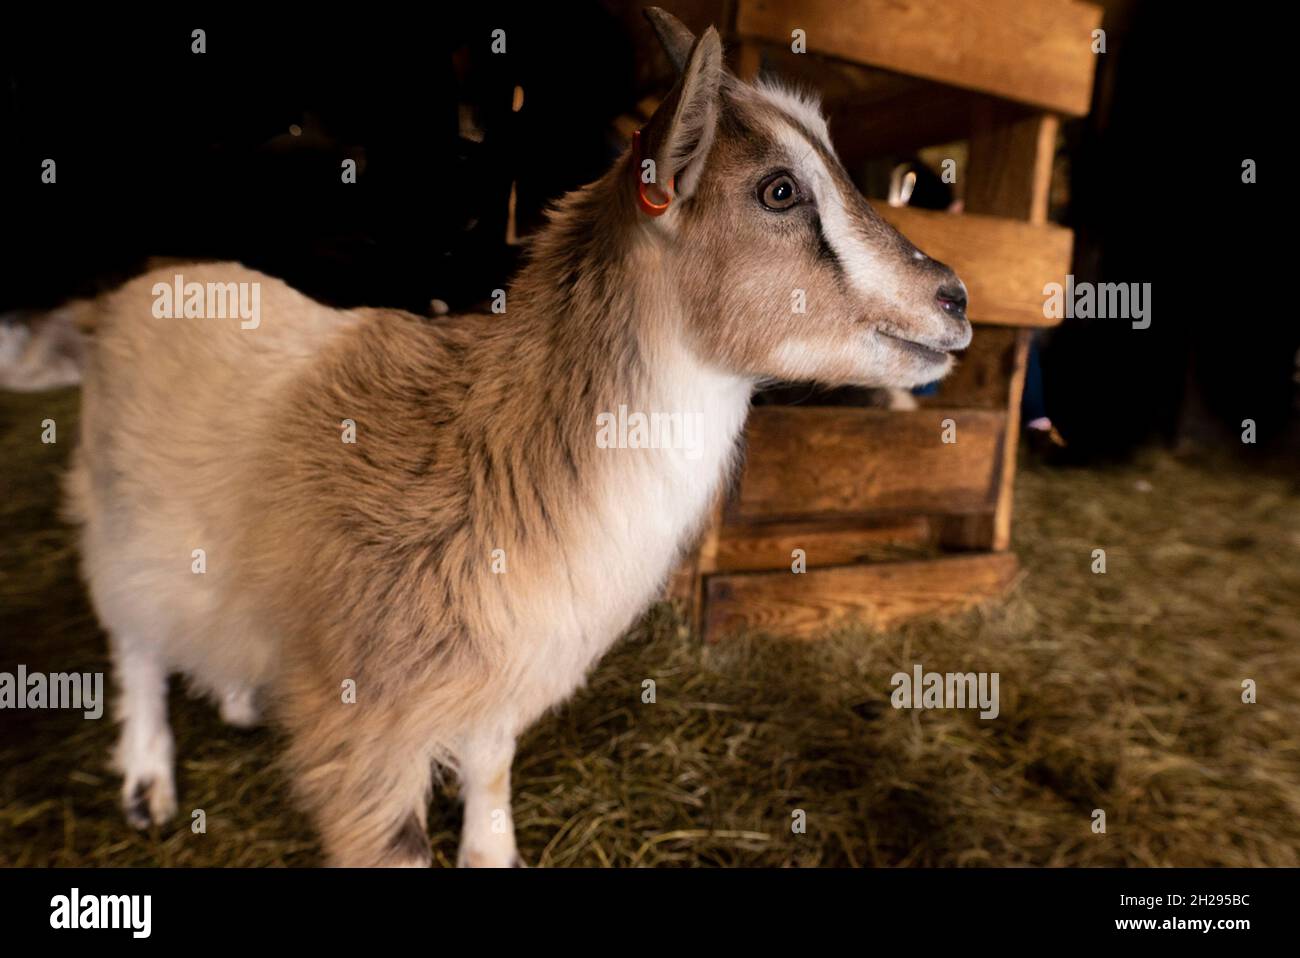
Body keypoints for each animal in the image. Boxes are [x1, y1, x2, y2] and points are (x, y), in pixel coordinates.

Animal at [22, 8, 971, 866]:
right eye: (778, 191)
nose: (956, 298)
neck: (494, 443)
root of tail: (133, 293)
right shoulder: (362, 728)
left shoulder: (497, 676)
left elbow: (489, 774)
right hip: (116, 525)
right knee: (135, 644)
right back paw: (147, 780)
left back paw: (239, 695)